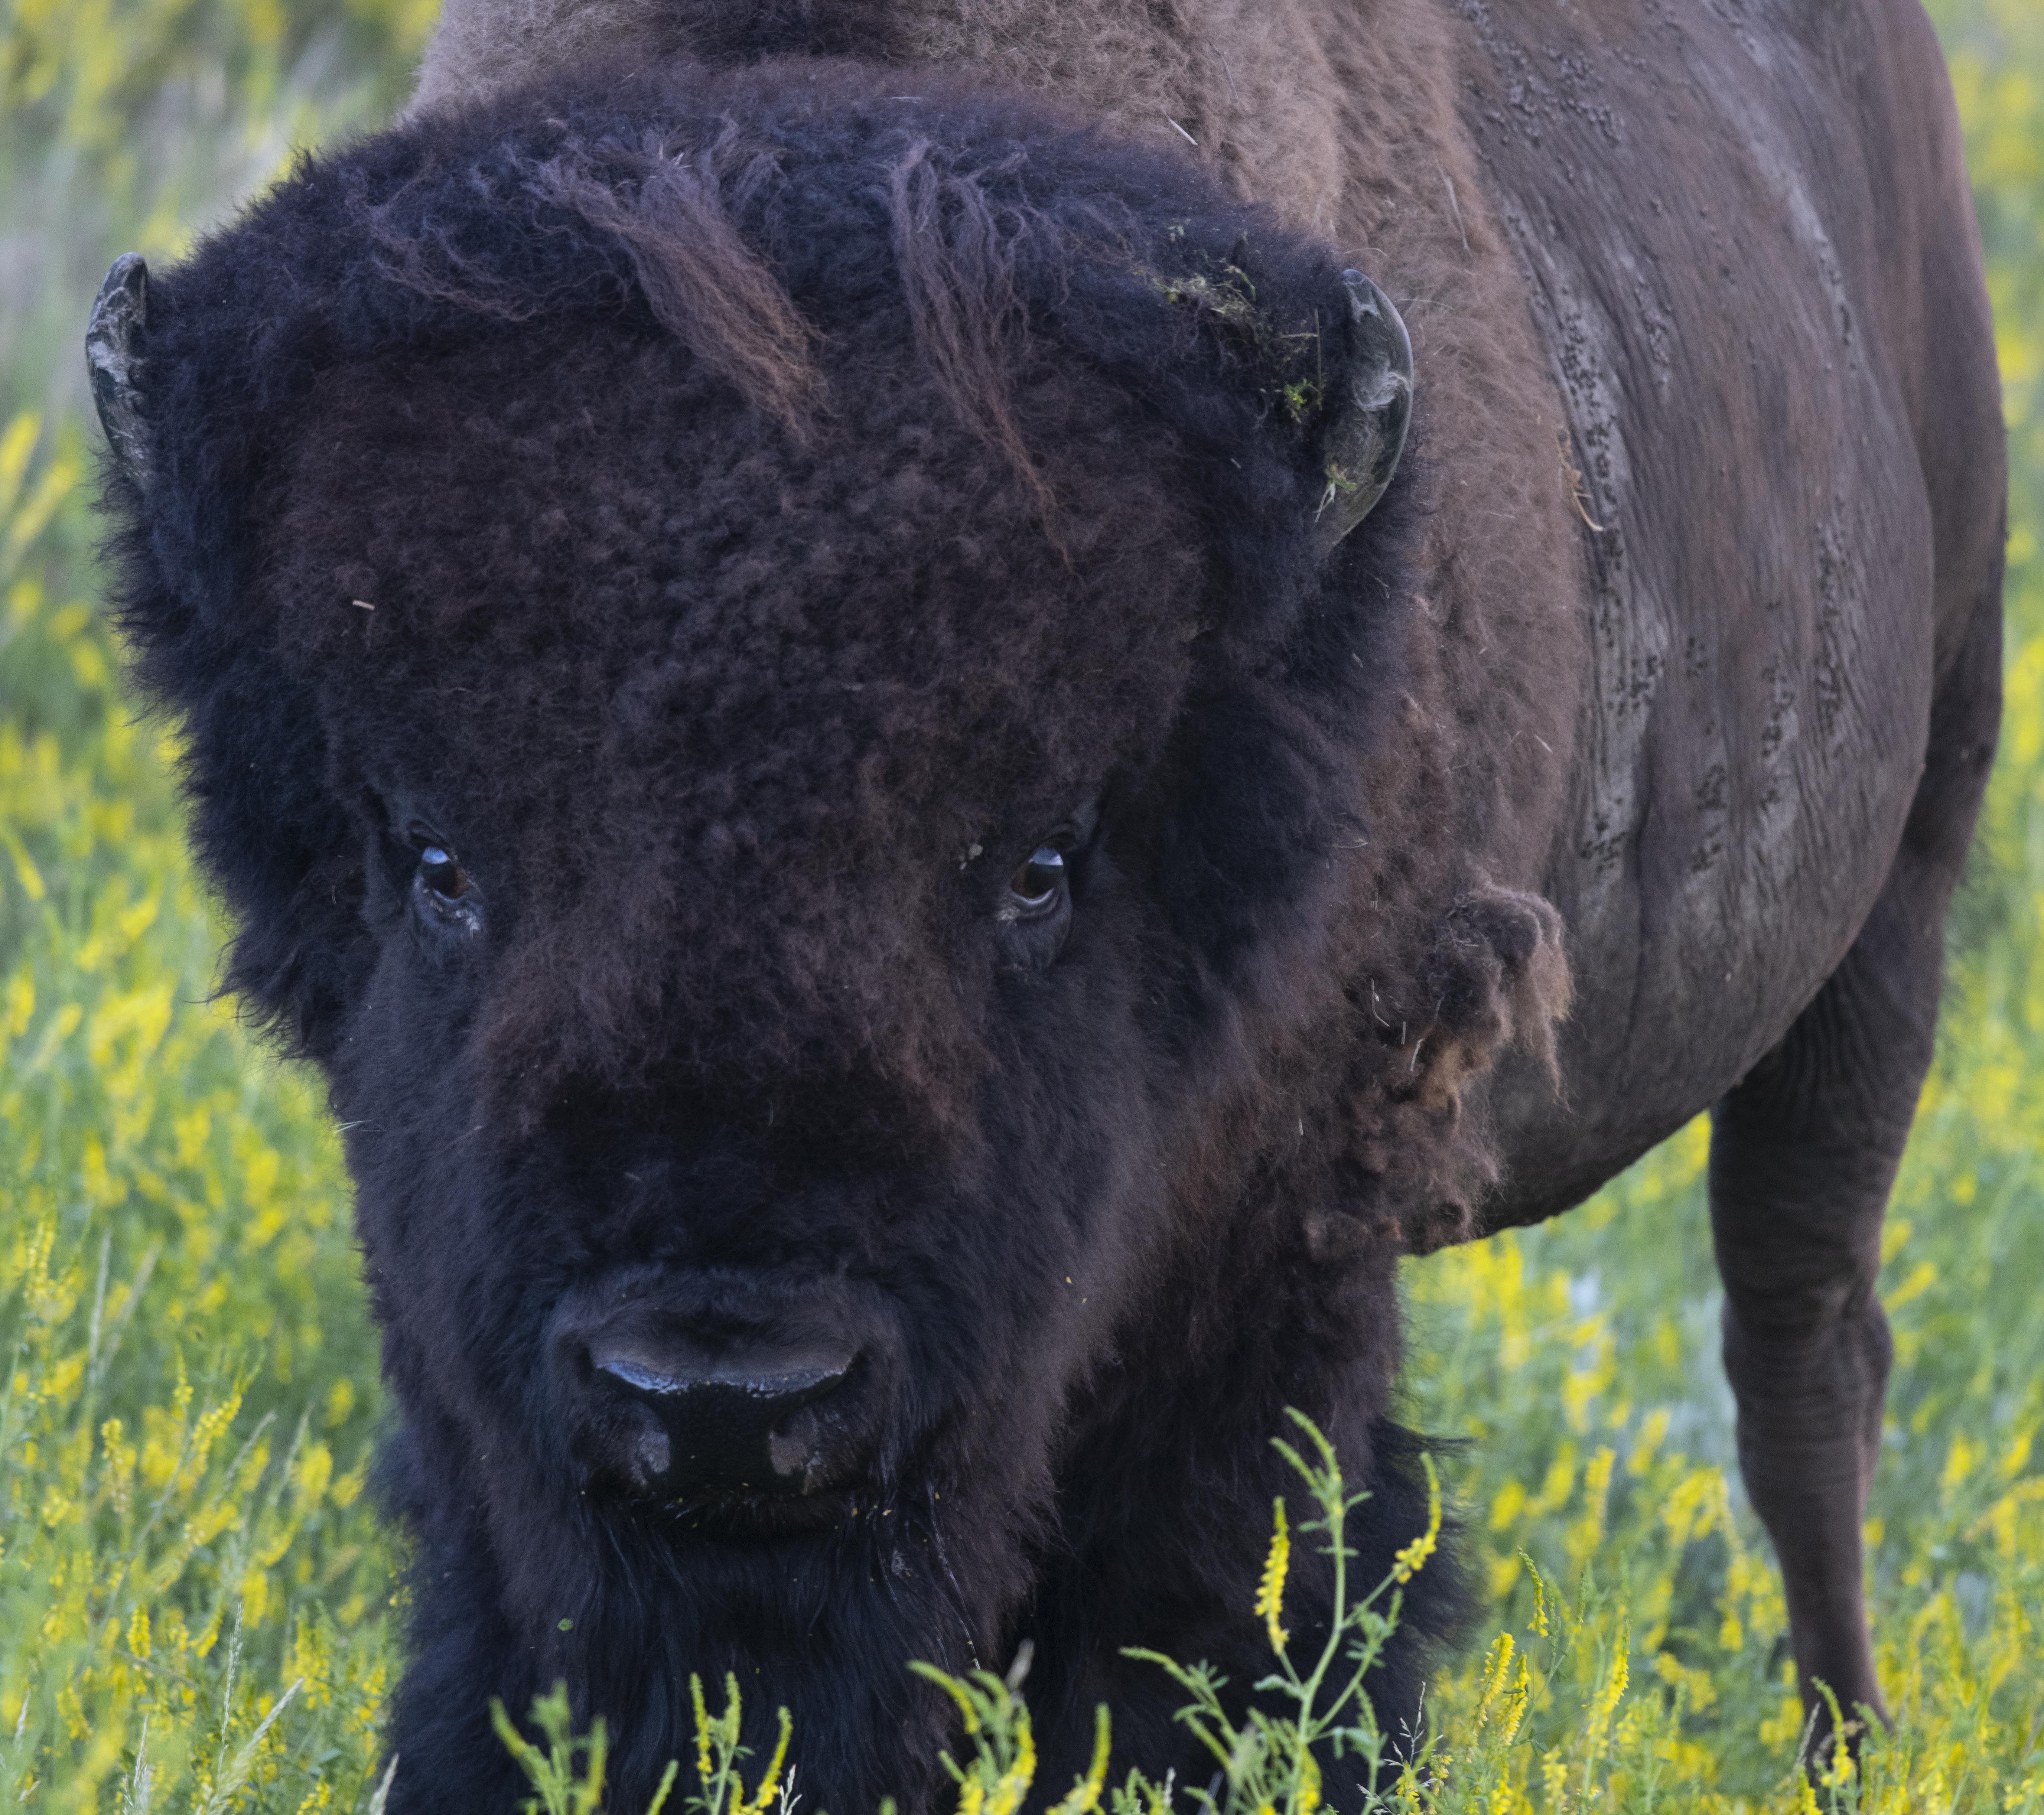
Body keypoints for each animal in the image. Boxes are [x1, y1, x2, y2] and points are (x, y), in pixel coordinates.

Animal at [88, 0, 2002, 1807]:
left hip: (1898, 898)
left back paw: (1847, 1752)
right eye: (435, 862)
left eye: (1040, 864)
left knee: (1803, 1363)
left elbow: (1224, 1597)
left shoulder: (1295, 1219)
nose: (723, 1399)